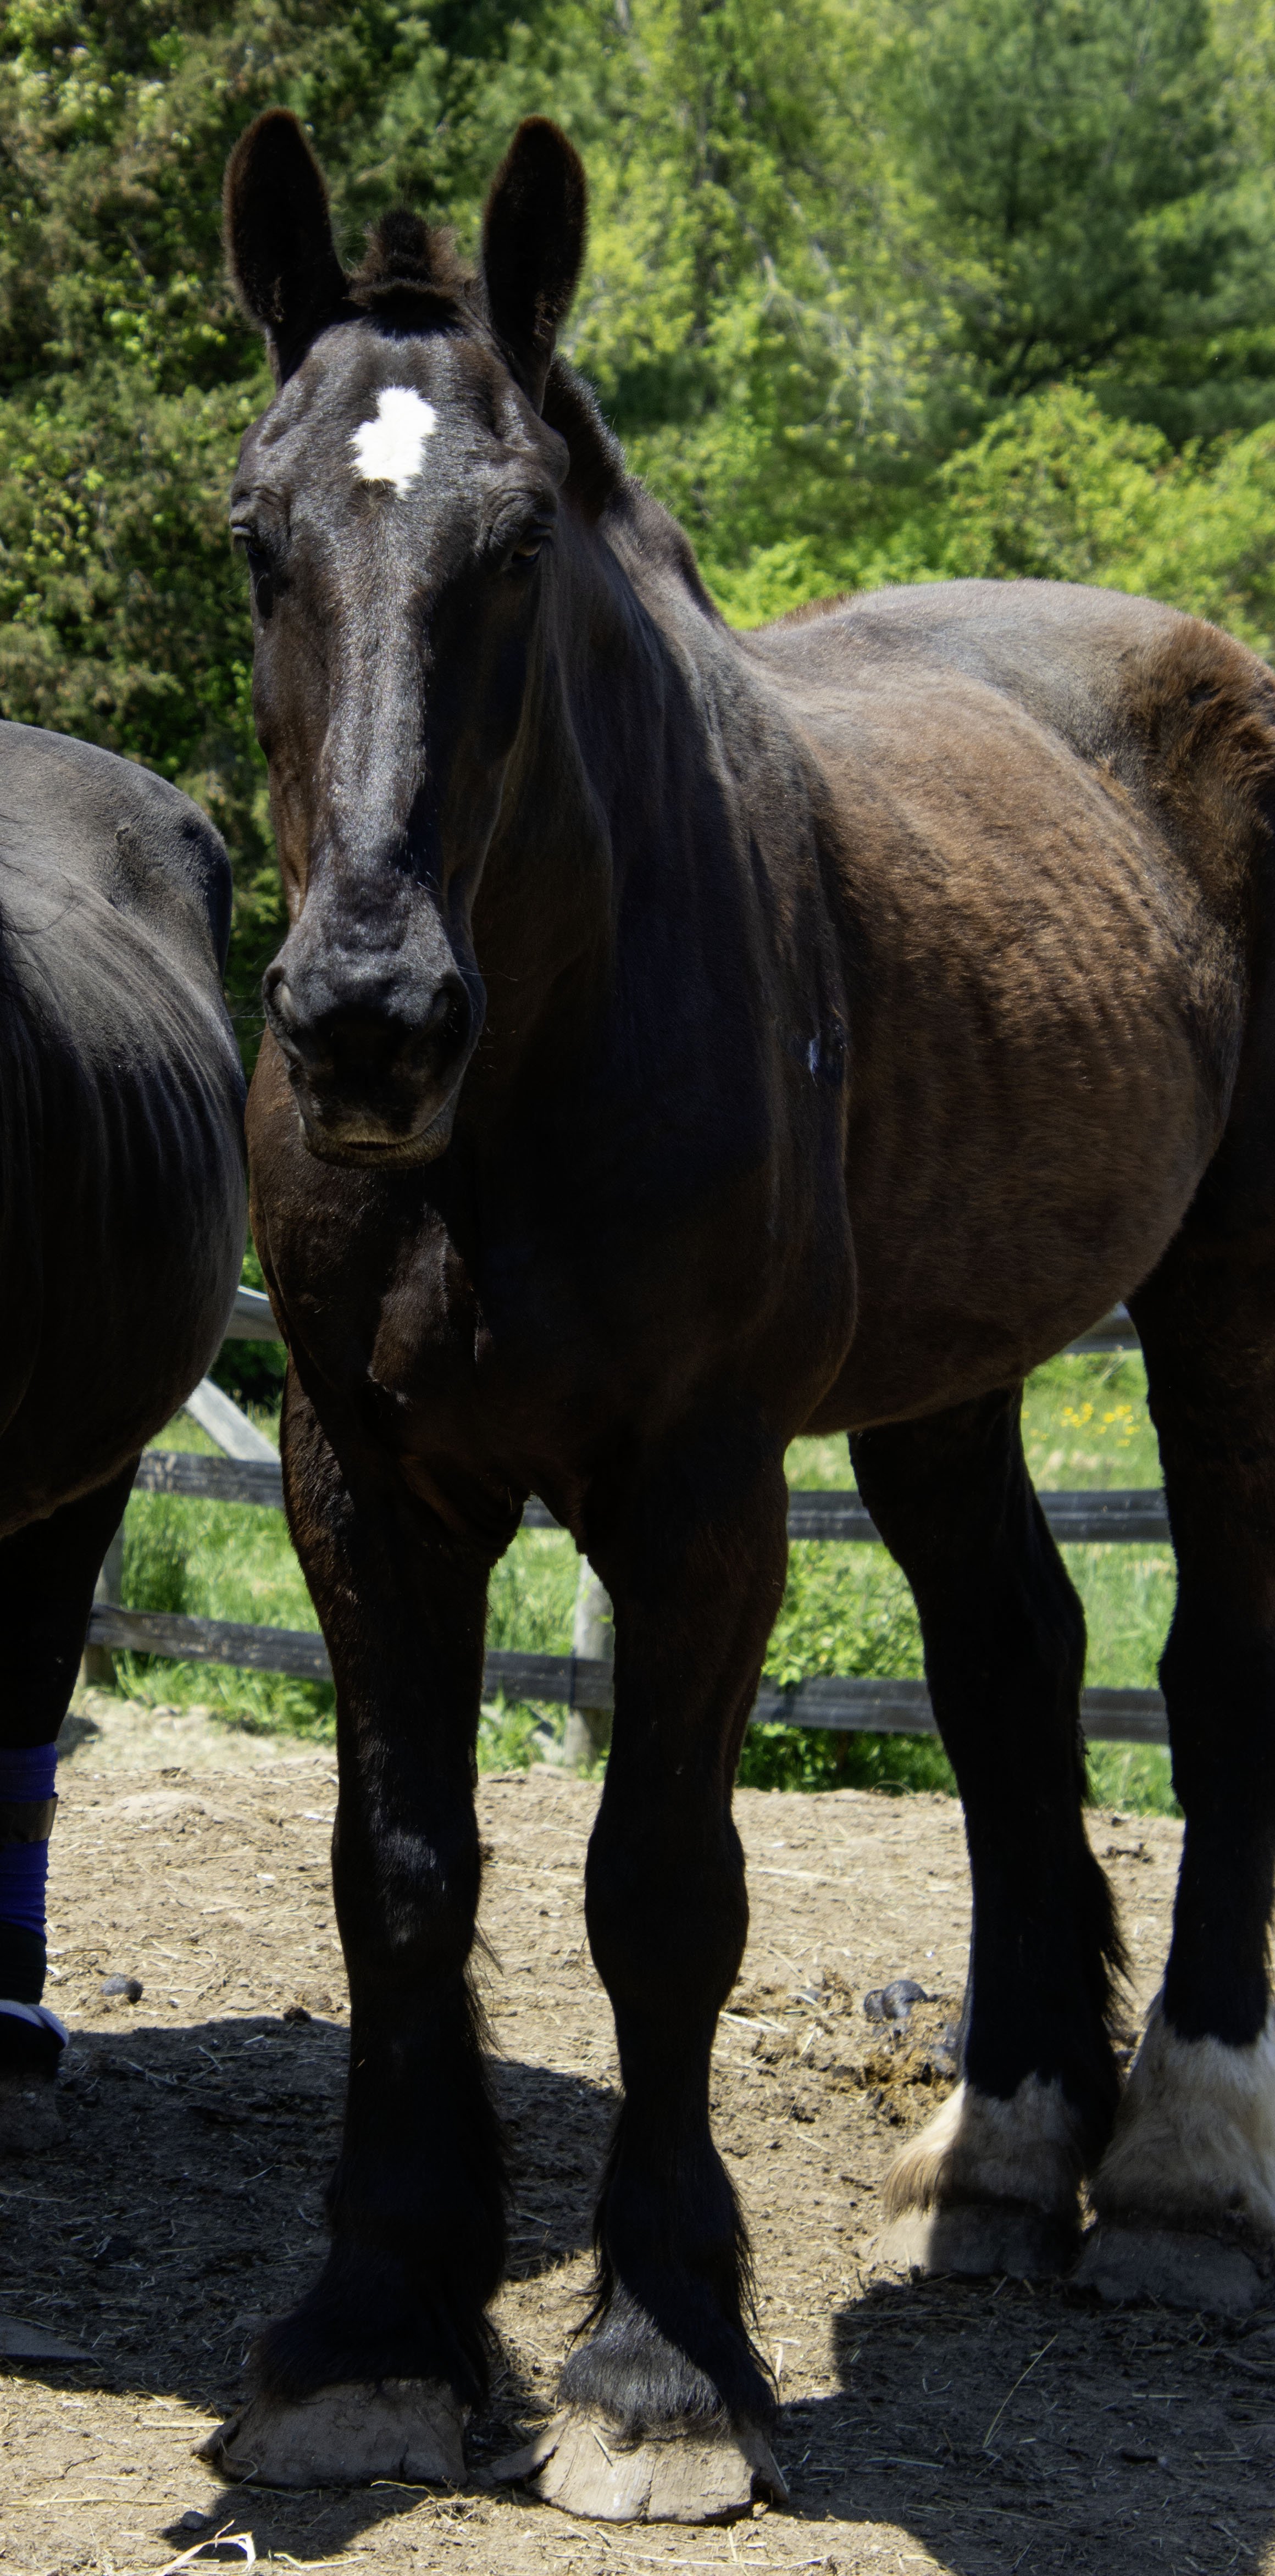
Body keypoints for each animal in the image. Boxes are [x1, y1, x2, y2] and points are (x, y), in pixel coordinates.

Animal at [205, 104, 1275, 2520]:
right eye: (254, 539)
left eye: (519, 549)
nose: (366, 1016)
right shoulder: (356, 1477)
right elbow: (397, 1872)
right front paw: (374, 2327)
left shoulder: (695, 1494)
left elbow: (657, 1888)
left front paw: (658, 2364)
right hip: (955, 1364)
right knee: (1010, 1662)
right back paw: (1006, 2149)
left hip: (1233, 1291)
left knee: (1209, 1661)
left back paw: (1182, 2168)